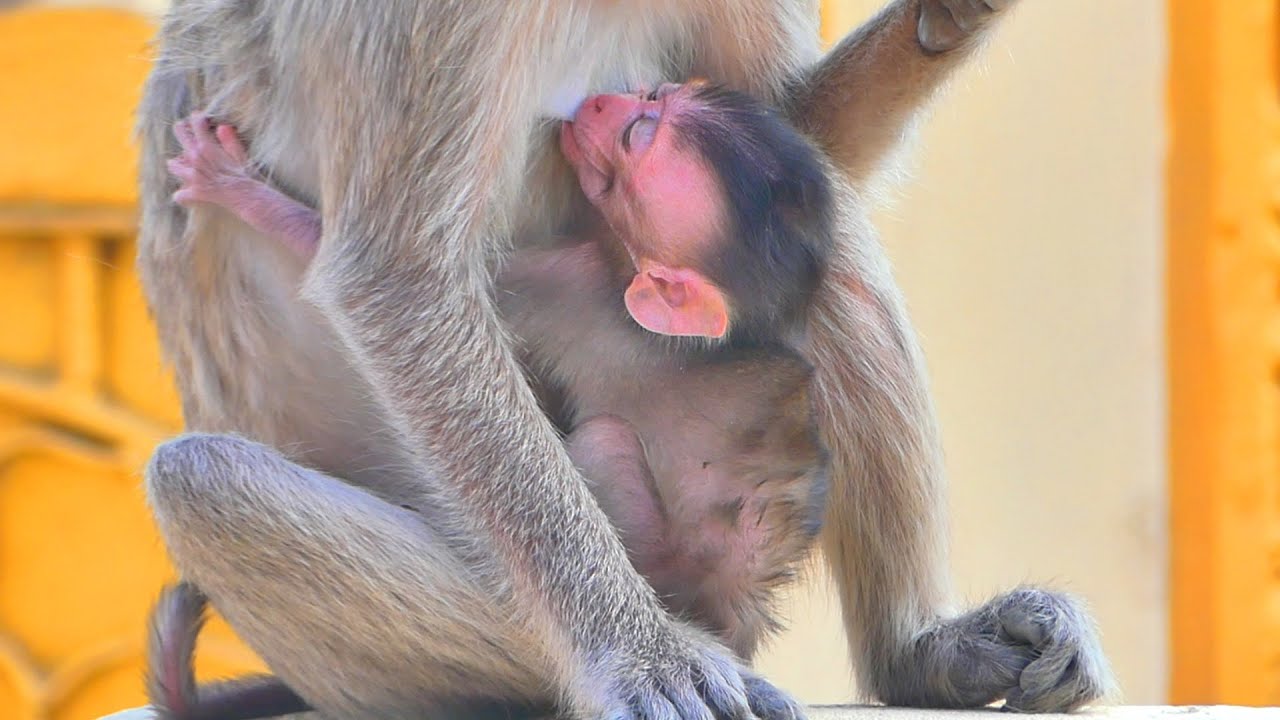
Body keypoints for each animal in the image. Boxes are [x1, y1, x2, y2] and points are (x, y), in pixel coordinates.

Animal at [135, 0, 1116, 718]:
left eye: (649, 124)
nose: (607, 109)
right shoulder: (429, 23)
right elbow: (396, 277)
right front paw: (638, 654)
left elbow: (792, 142)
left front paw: (949, 16)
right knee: (205, 479)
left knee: (826, 243)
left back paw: (914, 655)